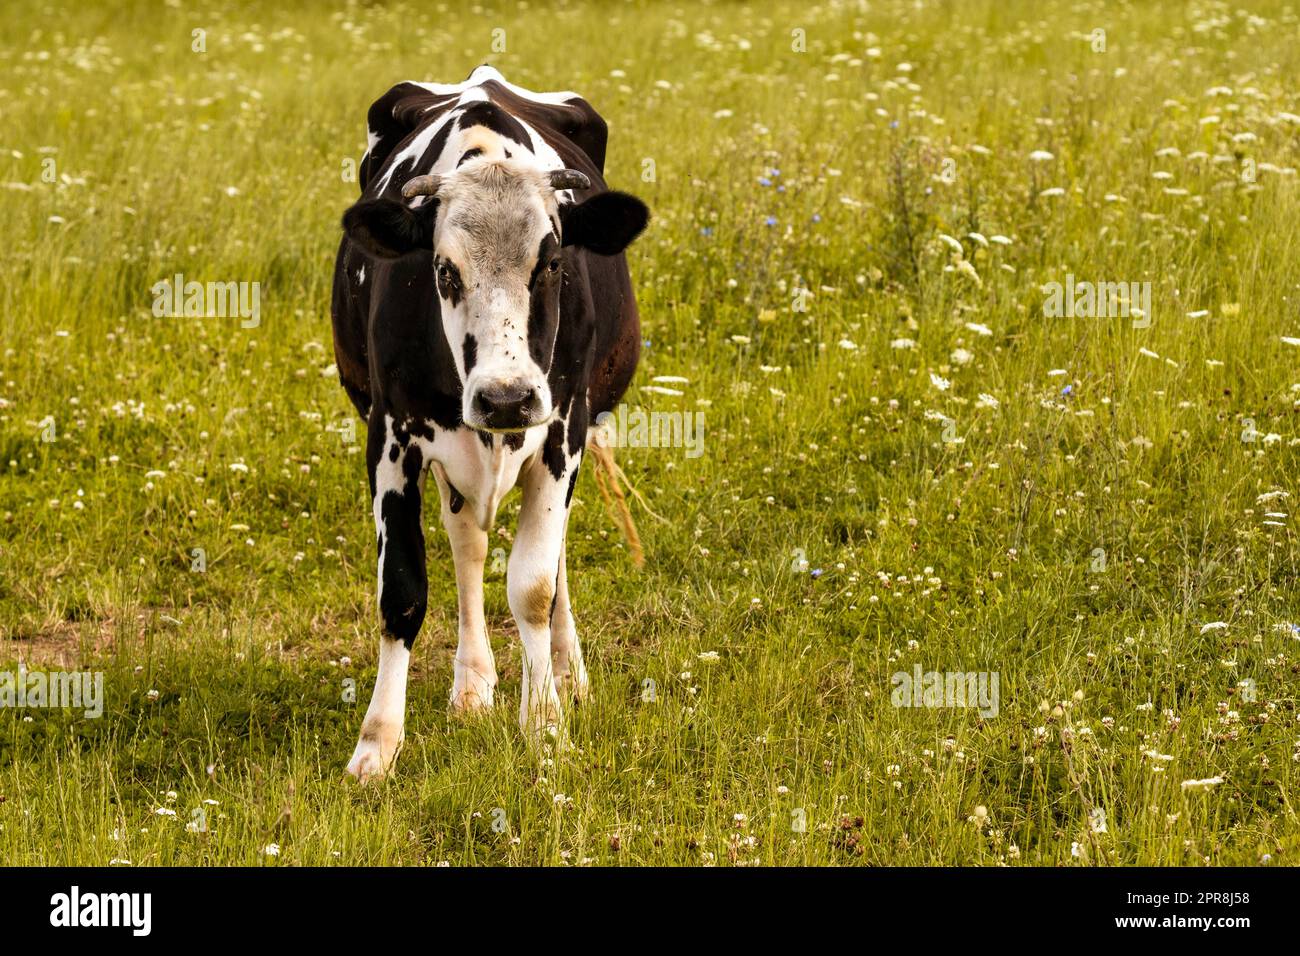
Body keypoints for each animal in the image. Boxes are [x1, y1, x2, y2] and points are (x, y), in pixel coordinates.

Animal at [331, 65, 649, 781]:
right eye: (444, 270)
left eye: (552, 263)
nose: (505, 399)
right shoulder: (391, 437)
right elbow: (402, 591)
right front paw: (377, 744)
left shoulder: (562, 429)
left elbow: (533, 586)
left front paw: (547, 725)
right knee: (468, 544)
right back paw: (473, 681)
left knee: (552, 564)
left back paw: (568, 671)